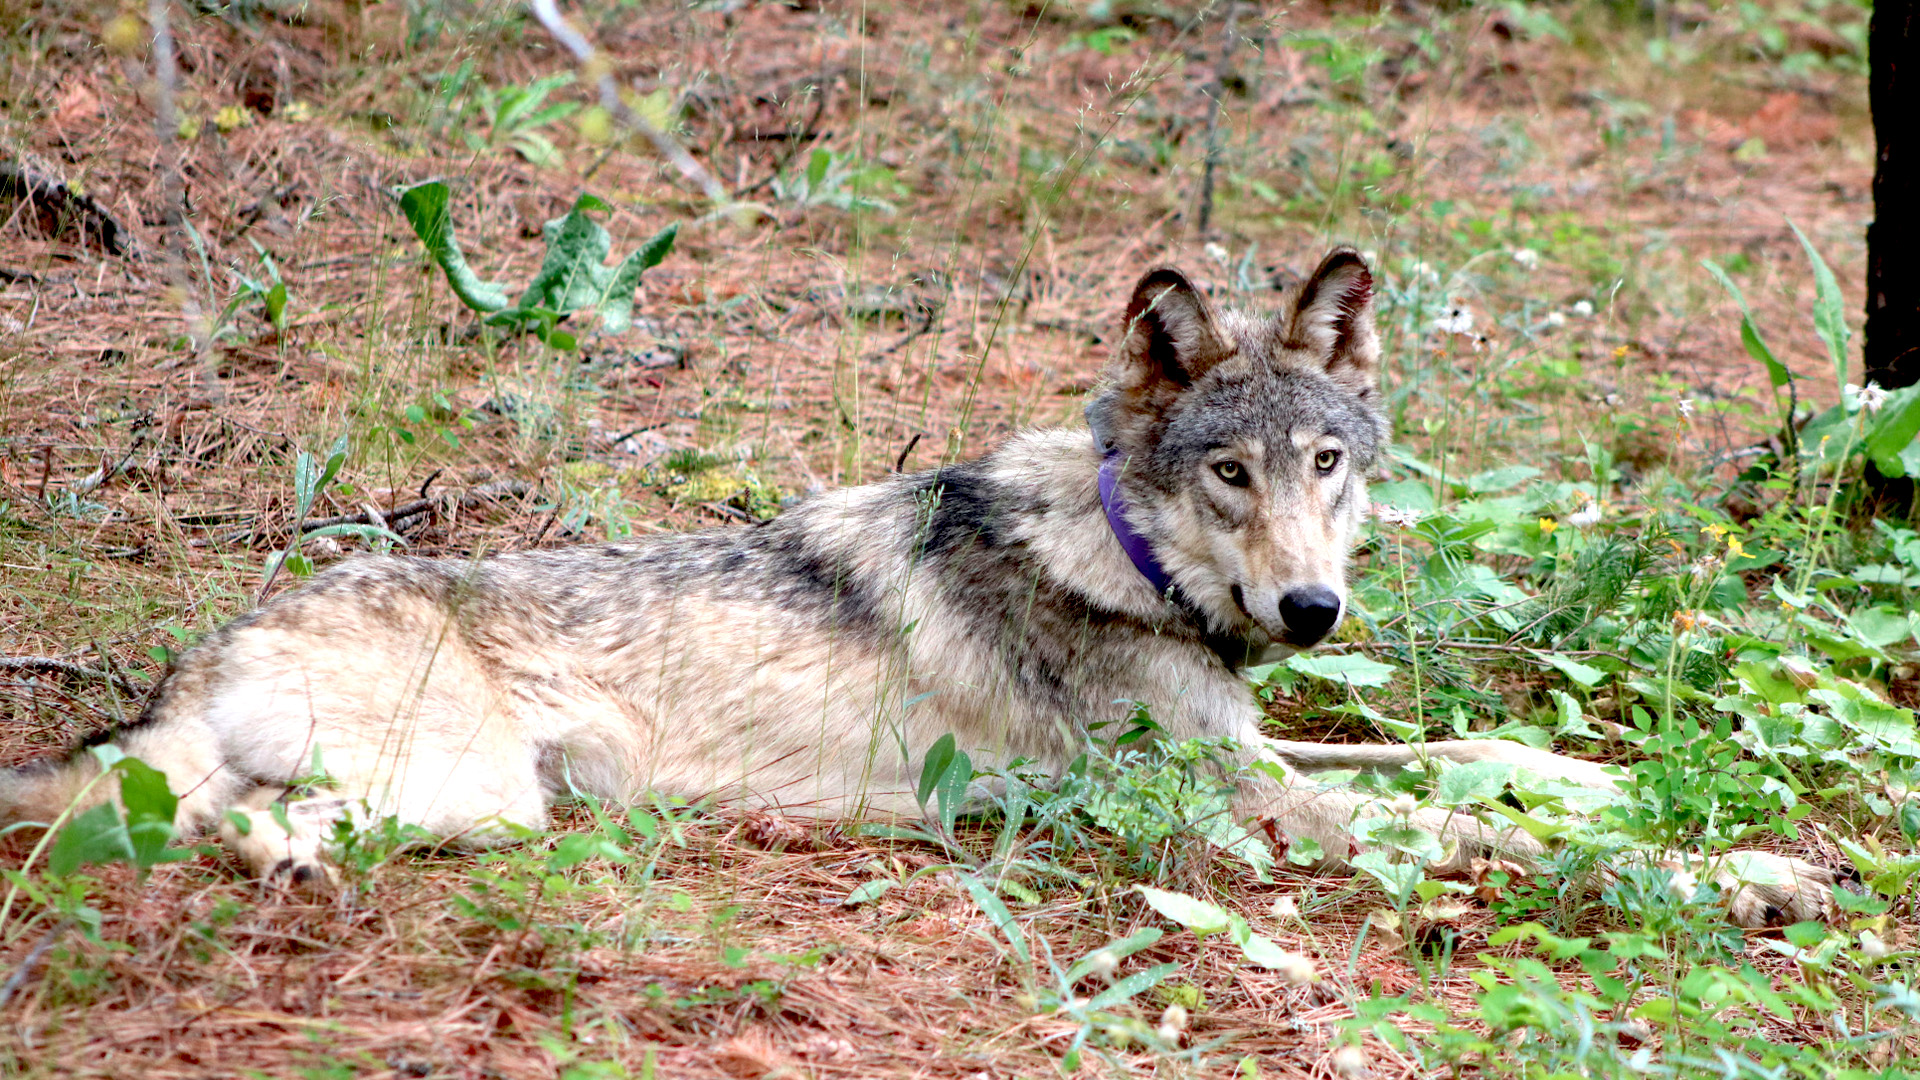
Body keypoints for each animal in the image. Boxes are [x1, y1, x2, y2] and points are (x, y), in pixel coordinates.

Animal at [0, 250, 1832, 926]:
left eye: (1329, 462)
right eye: (1229, 474)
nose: (1311, 615)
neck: (1123, 559)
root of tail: (209, 645)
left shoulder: (1252, 754)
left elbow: (1479, 760)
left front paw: (1616, 785)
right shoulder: (1234, 814)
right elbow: (1472, 831)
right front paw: (1740, 869)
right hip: (470, 794)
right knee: (204, 823)